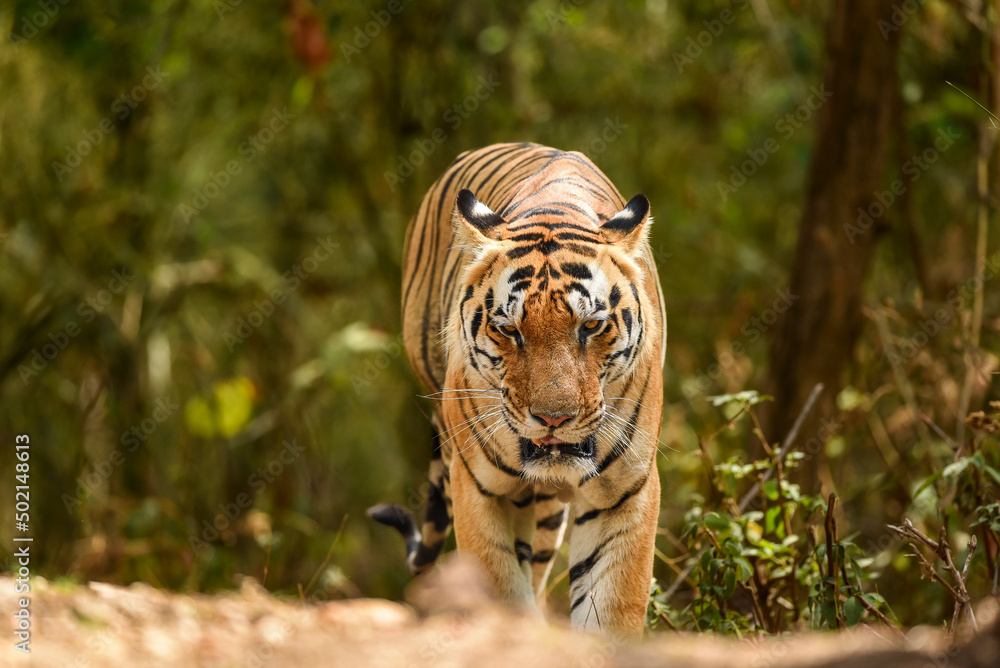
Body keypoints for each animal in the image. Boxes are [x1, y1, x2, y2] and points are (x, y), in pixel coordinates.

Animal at [369, 142, 666, 638]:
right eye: (509, 330)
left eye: (591, 326)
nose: (554, 418)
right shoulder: (482, 489)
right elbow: (499, 586)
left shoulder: (627, 491)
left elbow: (611, 607)